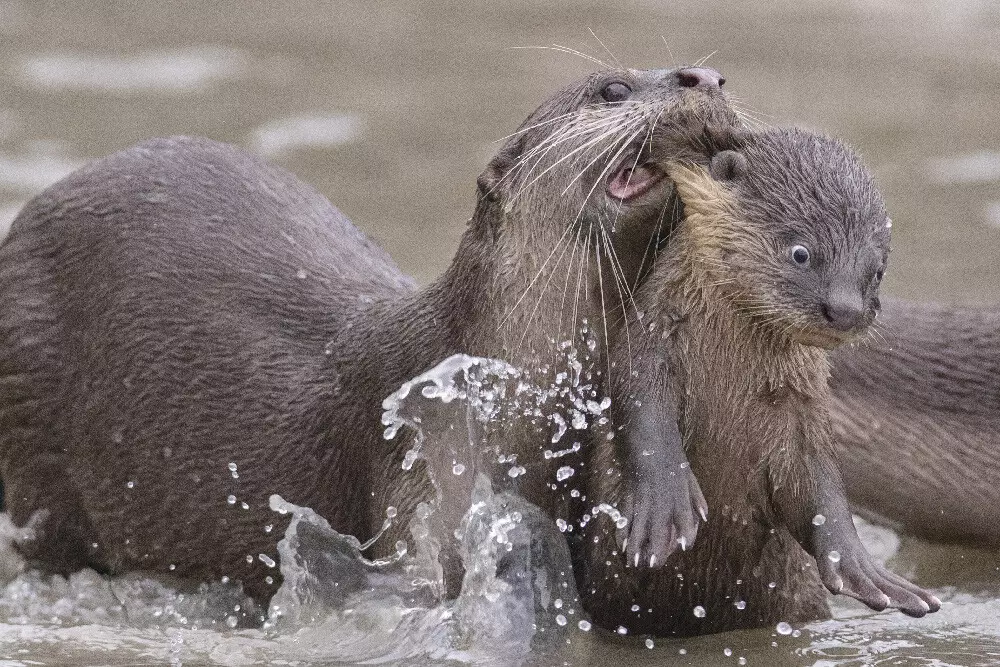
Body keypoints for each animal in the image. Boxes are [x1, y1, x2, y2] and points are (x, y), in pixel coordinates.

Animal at [584, 126, 940, 636]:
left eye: (876, 270)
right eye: (801, 252)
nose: (846, 310)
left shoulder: (803, 408)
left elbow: (819, 485)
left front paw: (862, 567)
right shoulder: (650, 344)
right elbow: (642, 413)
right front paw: (665, 507)